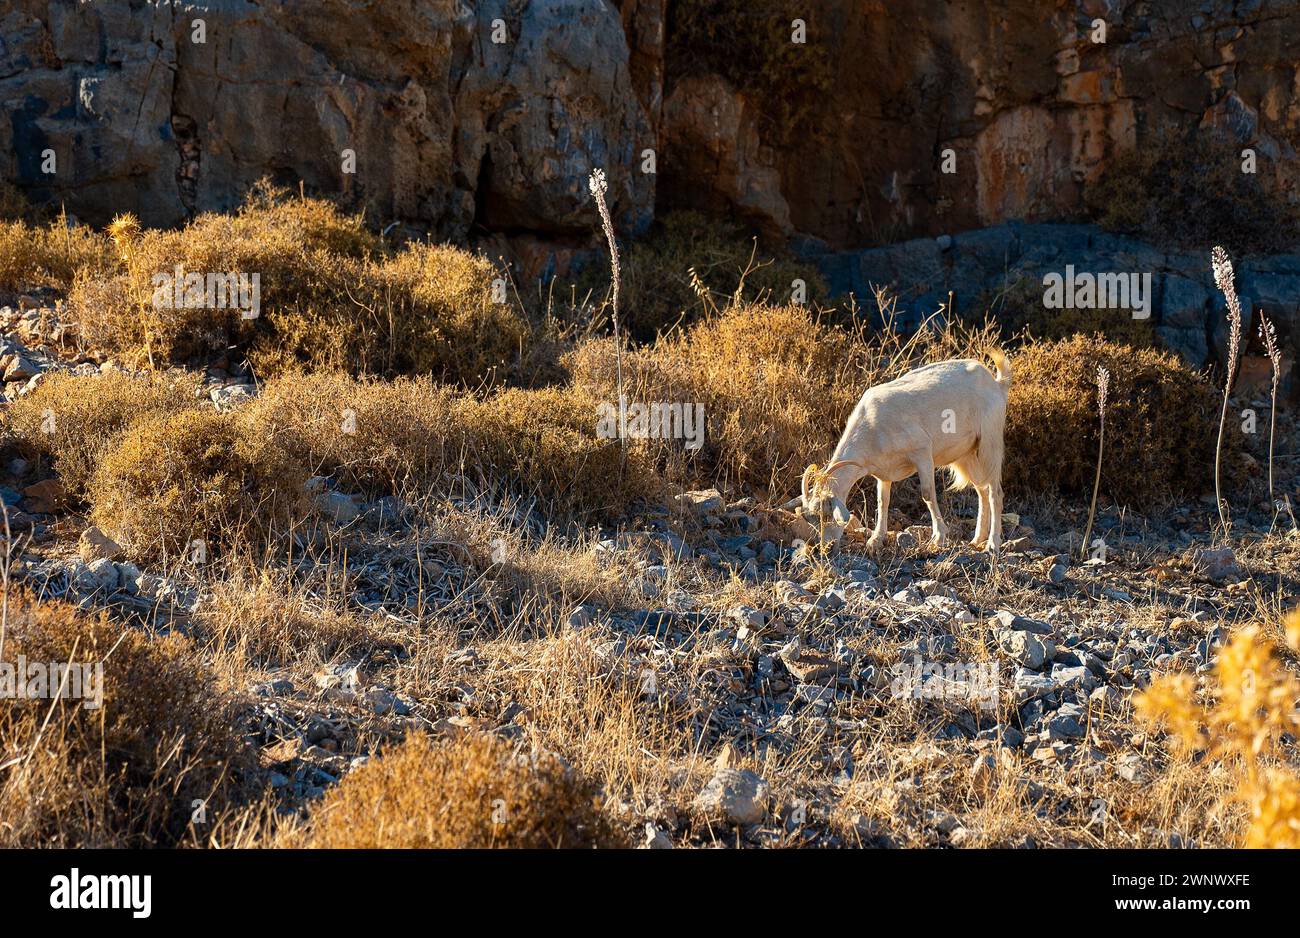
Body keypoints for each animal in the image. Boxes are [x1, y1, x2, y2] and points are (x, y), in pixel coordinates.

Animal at [787, 351, 1013, 553]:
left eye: (827, 515)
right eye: (810, 519)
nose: (825, 548)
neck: (871, 426)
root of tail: (997, 384)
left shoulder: (922, 451)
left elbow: (927, 495)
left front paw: (939, 537)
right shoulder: (882, 472)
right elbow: (882, 501)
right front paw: (876, 540)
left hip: (989, 444)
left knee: (995, 493)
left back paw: (992, 544)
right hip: (966, 455)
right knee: (982, 490)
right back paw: (977, 539)